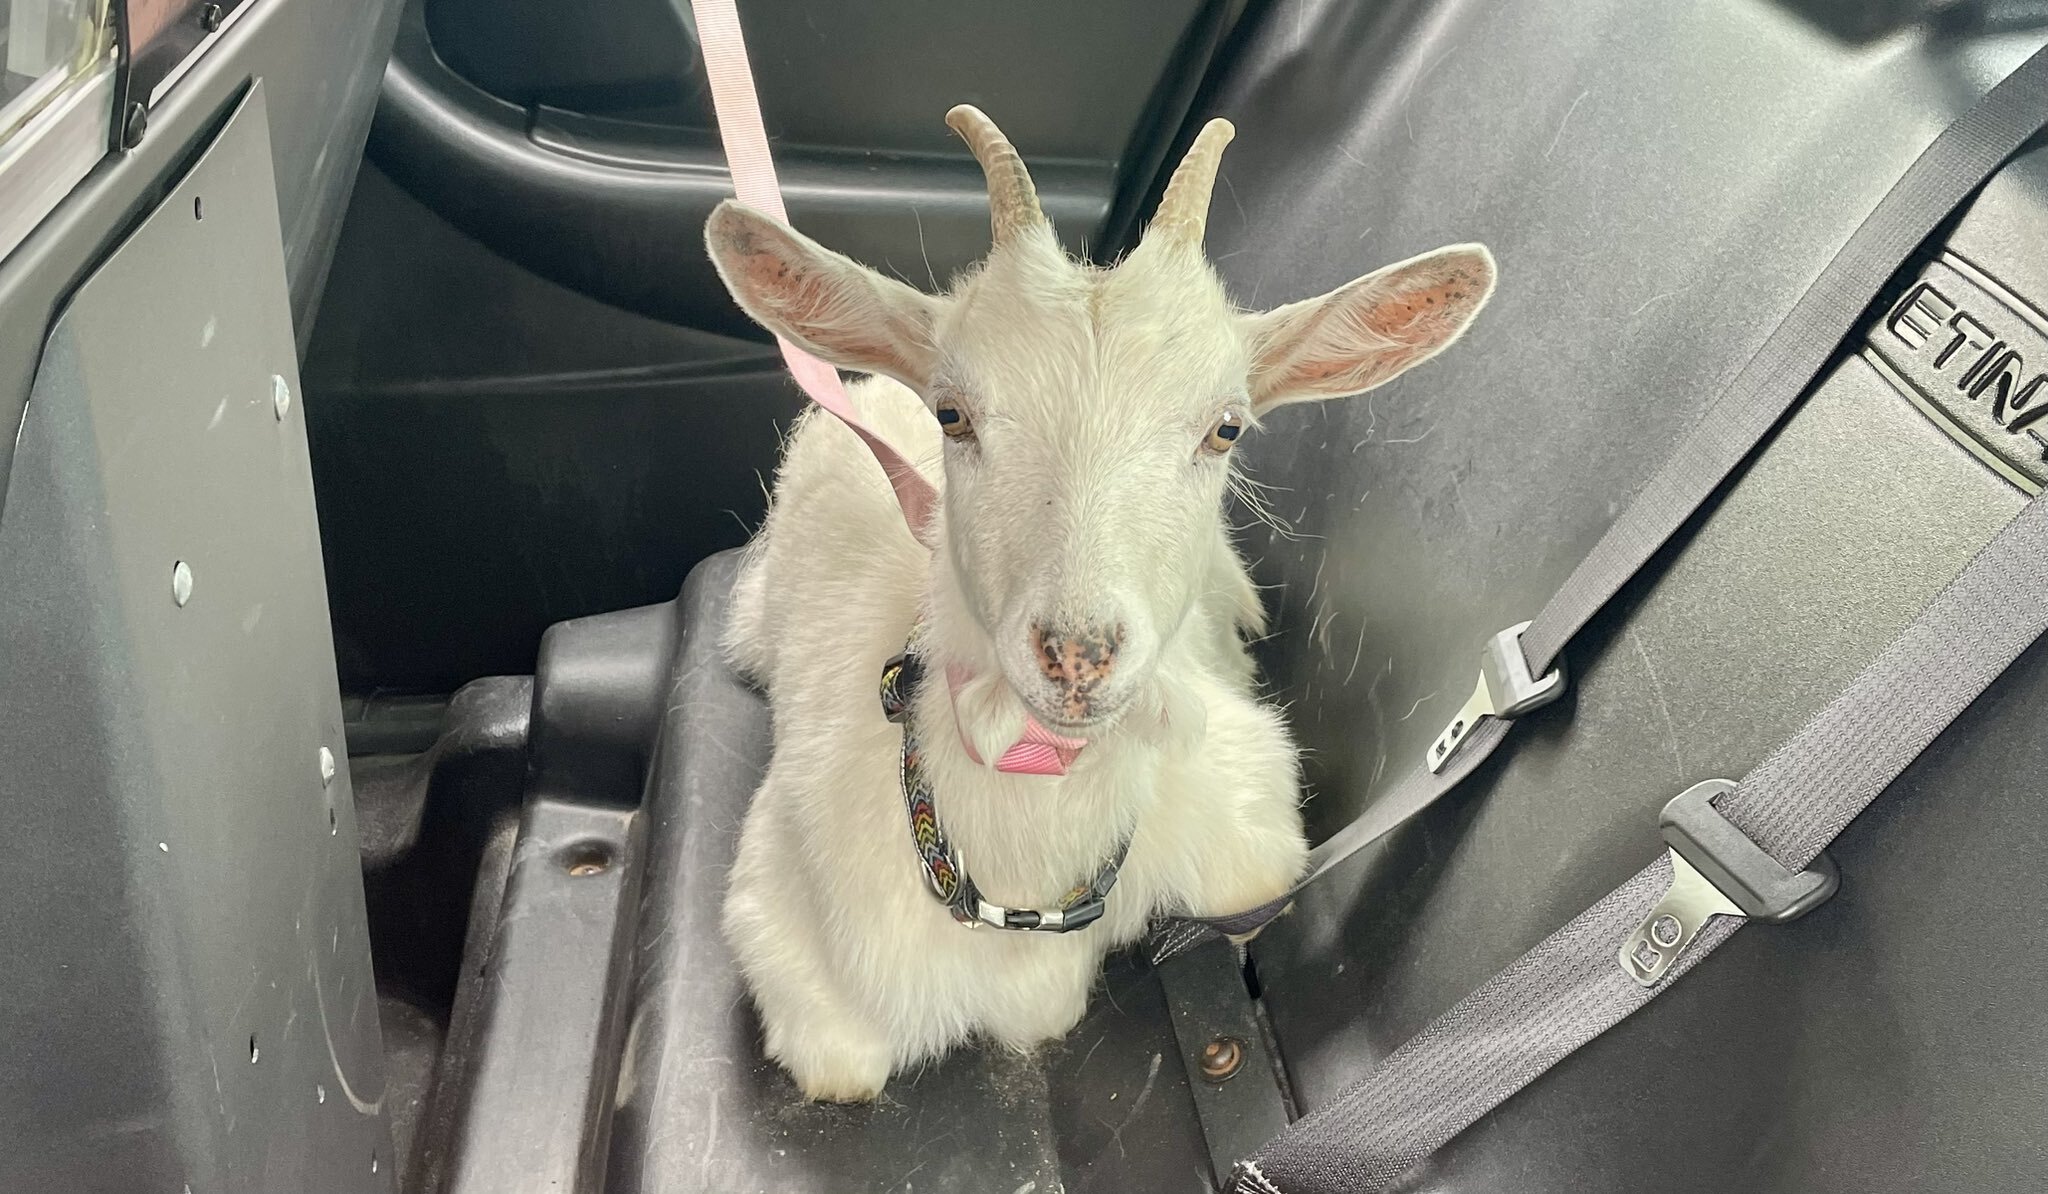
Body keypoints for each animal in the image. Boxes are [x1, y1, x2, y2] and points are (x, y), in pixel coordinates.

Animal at [706, 107, 1495, 1102]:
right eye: (953, 414)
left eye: (1226, 427)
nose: (1077, 657)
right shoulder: (785, 926)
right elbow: (843, 1066)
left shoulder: (1248, 825)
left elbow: (1247, 893)